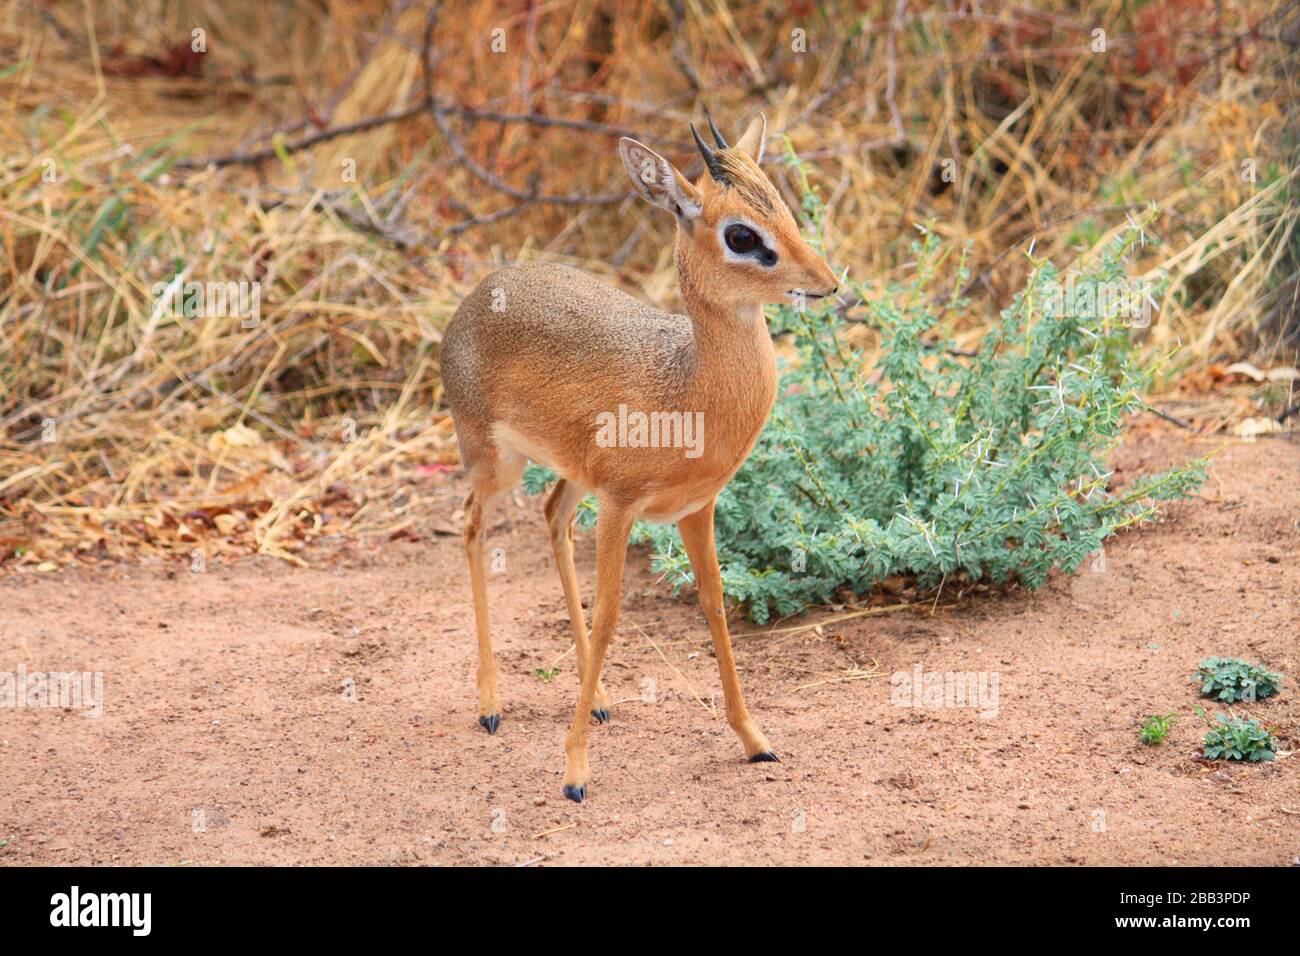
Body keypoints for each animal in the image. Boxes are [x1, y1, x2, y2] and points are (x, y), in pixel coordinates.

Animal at [440, 114, 838, 802]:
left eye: (784, 209)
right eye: (741, 234)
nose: (827, 284)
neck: (687, 387)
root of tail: (482, 292)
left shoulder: (696, 509)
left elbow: (714, 604)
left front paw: (754, 739)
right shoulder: (623, 507)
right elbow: (609, 617)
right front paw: (574, 773)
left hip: (574, 480)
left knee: (551, 517)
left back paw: (597, 696)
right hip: (496, 463)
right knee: (470, 524)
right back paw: (490, 705)